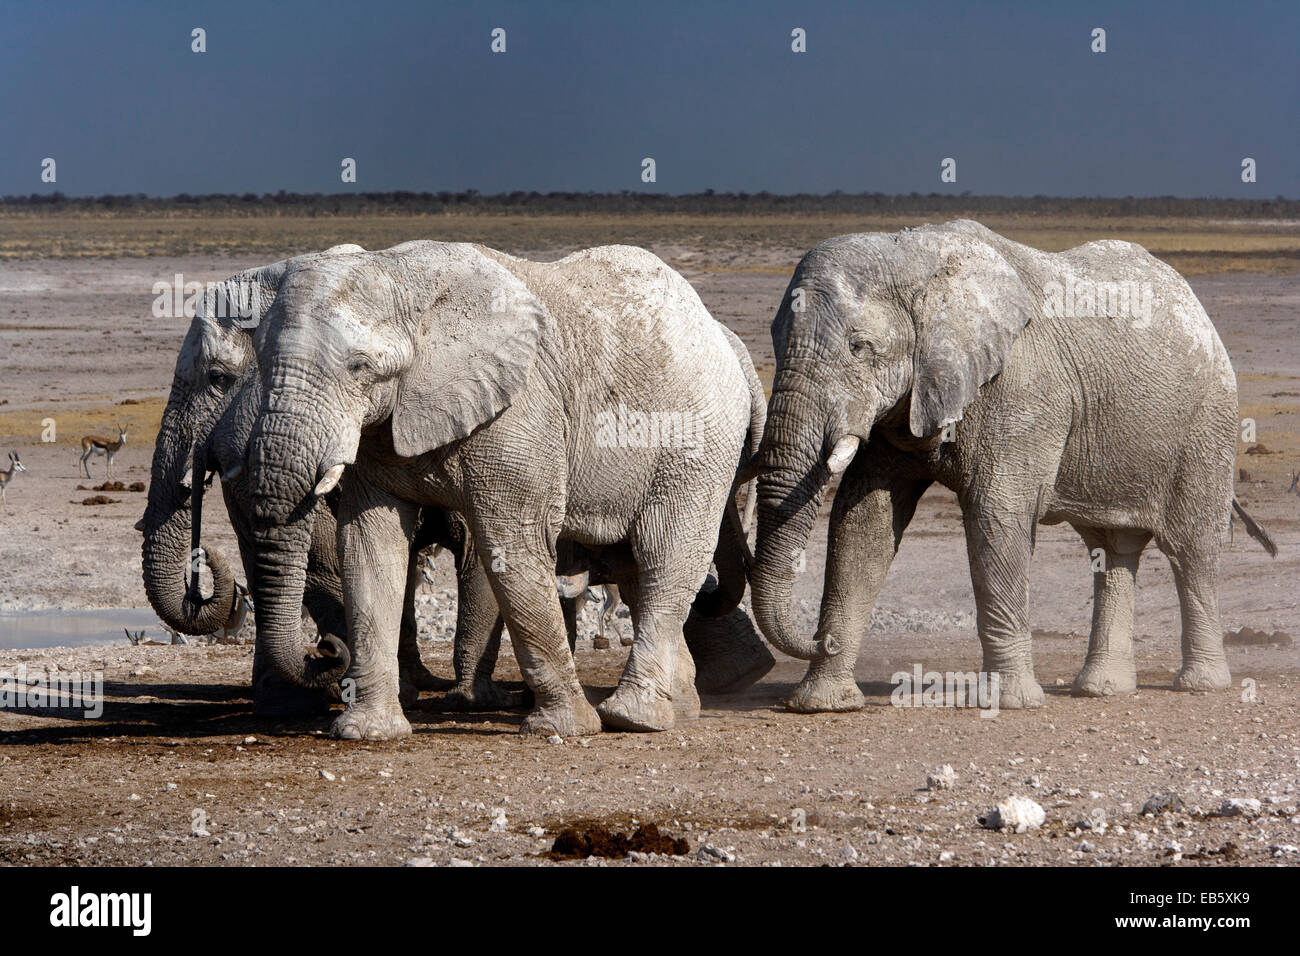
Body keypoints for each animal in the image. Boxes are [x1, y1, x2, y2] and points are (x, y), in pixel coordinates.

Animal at [240, 241, 766, 739]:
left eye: (359, 366)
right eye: (260, 361)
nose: (325, 647)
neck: (399, 272)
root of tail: (721, 335)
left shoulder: (521, 413)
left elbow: (513, 543)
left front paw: (562, 729)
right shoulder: (380, 428)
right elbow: (371, 549)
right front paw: (365, 733)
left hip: (698, 439)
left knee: (665, 557)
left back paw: (631, 717)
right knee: (634, 569)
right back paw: (680, 709)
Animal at [750, 219, 1276, 713]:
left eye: (859, 347)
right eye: (775, 341)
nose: (820, 639)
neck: (916, 256)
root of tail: (1195, 305)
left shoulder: (1023, 391)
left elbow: (995, 516)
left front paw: (1009, 703)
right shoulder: (906, 400)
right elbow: (864, 522)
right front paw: (821, 704)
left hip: (1207, 422)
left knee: (1192, 550)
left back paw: (1200, 684)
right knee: (1112, 550)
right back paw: (1101, 689)